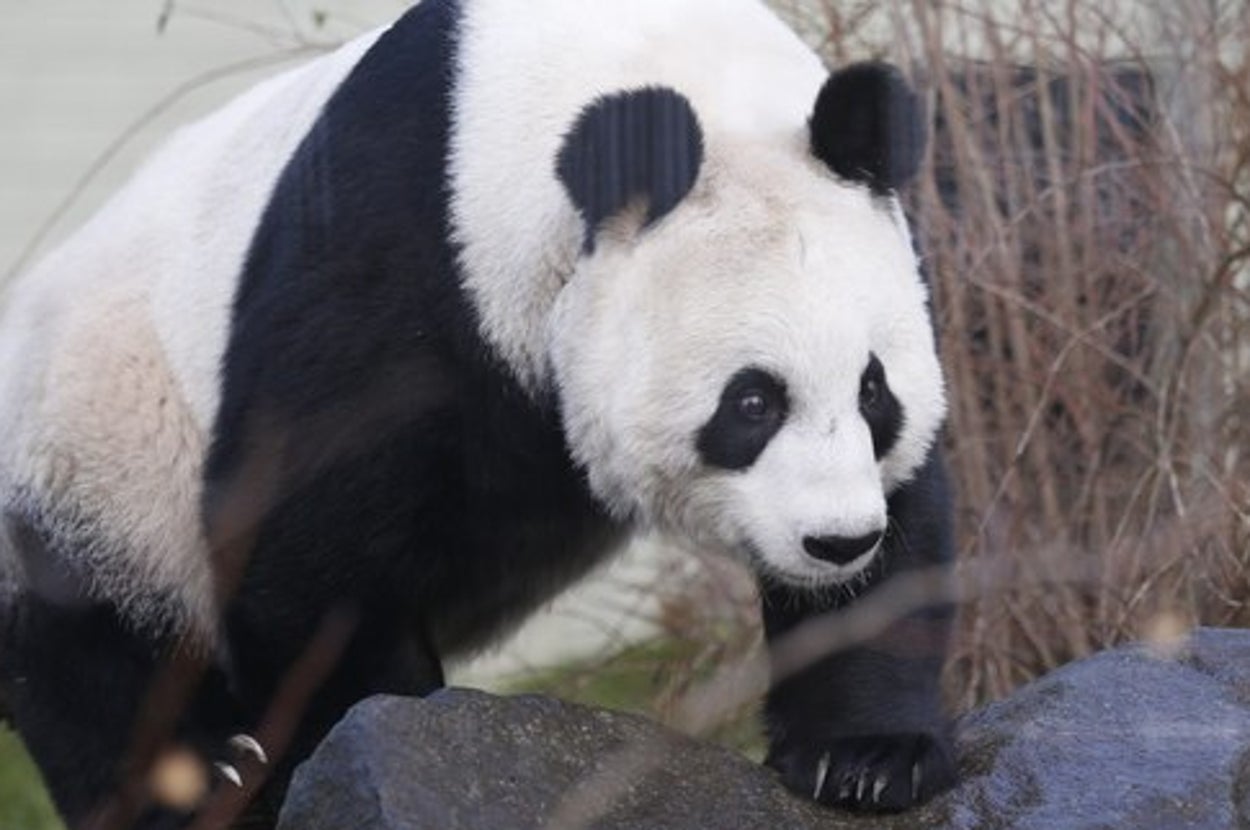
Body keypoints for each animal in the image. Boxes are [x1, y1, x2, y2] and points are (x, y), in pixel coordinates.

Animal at [0, 0, 956, 826]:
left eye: (873, 392)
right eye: (752, 401)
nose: (836, 543)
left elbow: (907, 525)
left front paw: (864, 758)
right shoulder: (399, 250)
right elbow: (307, 545)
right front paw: (386, 736)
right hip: (95, 441)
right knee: (92, 647)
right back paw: (204, 778)